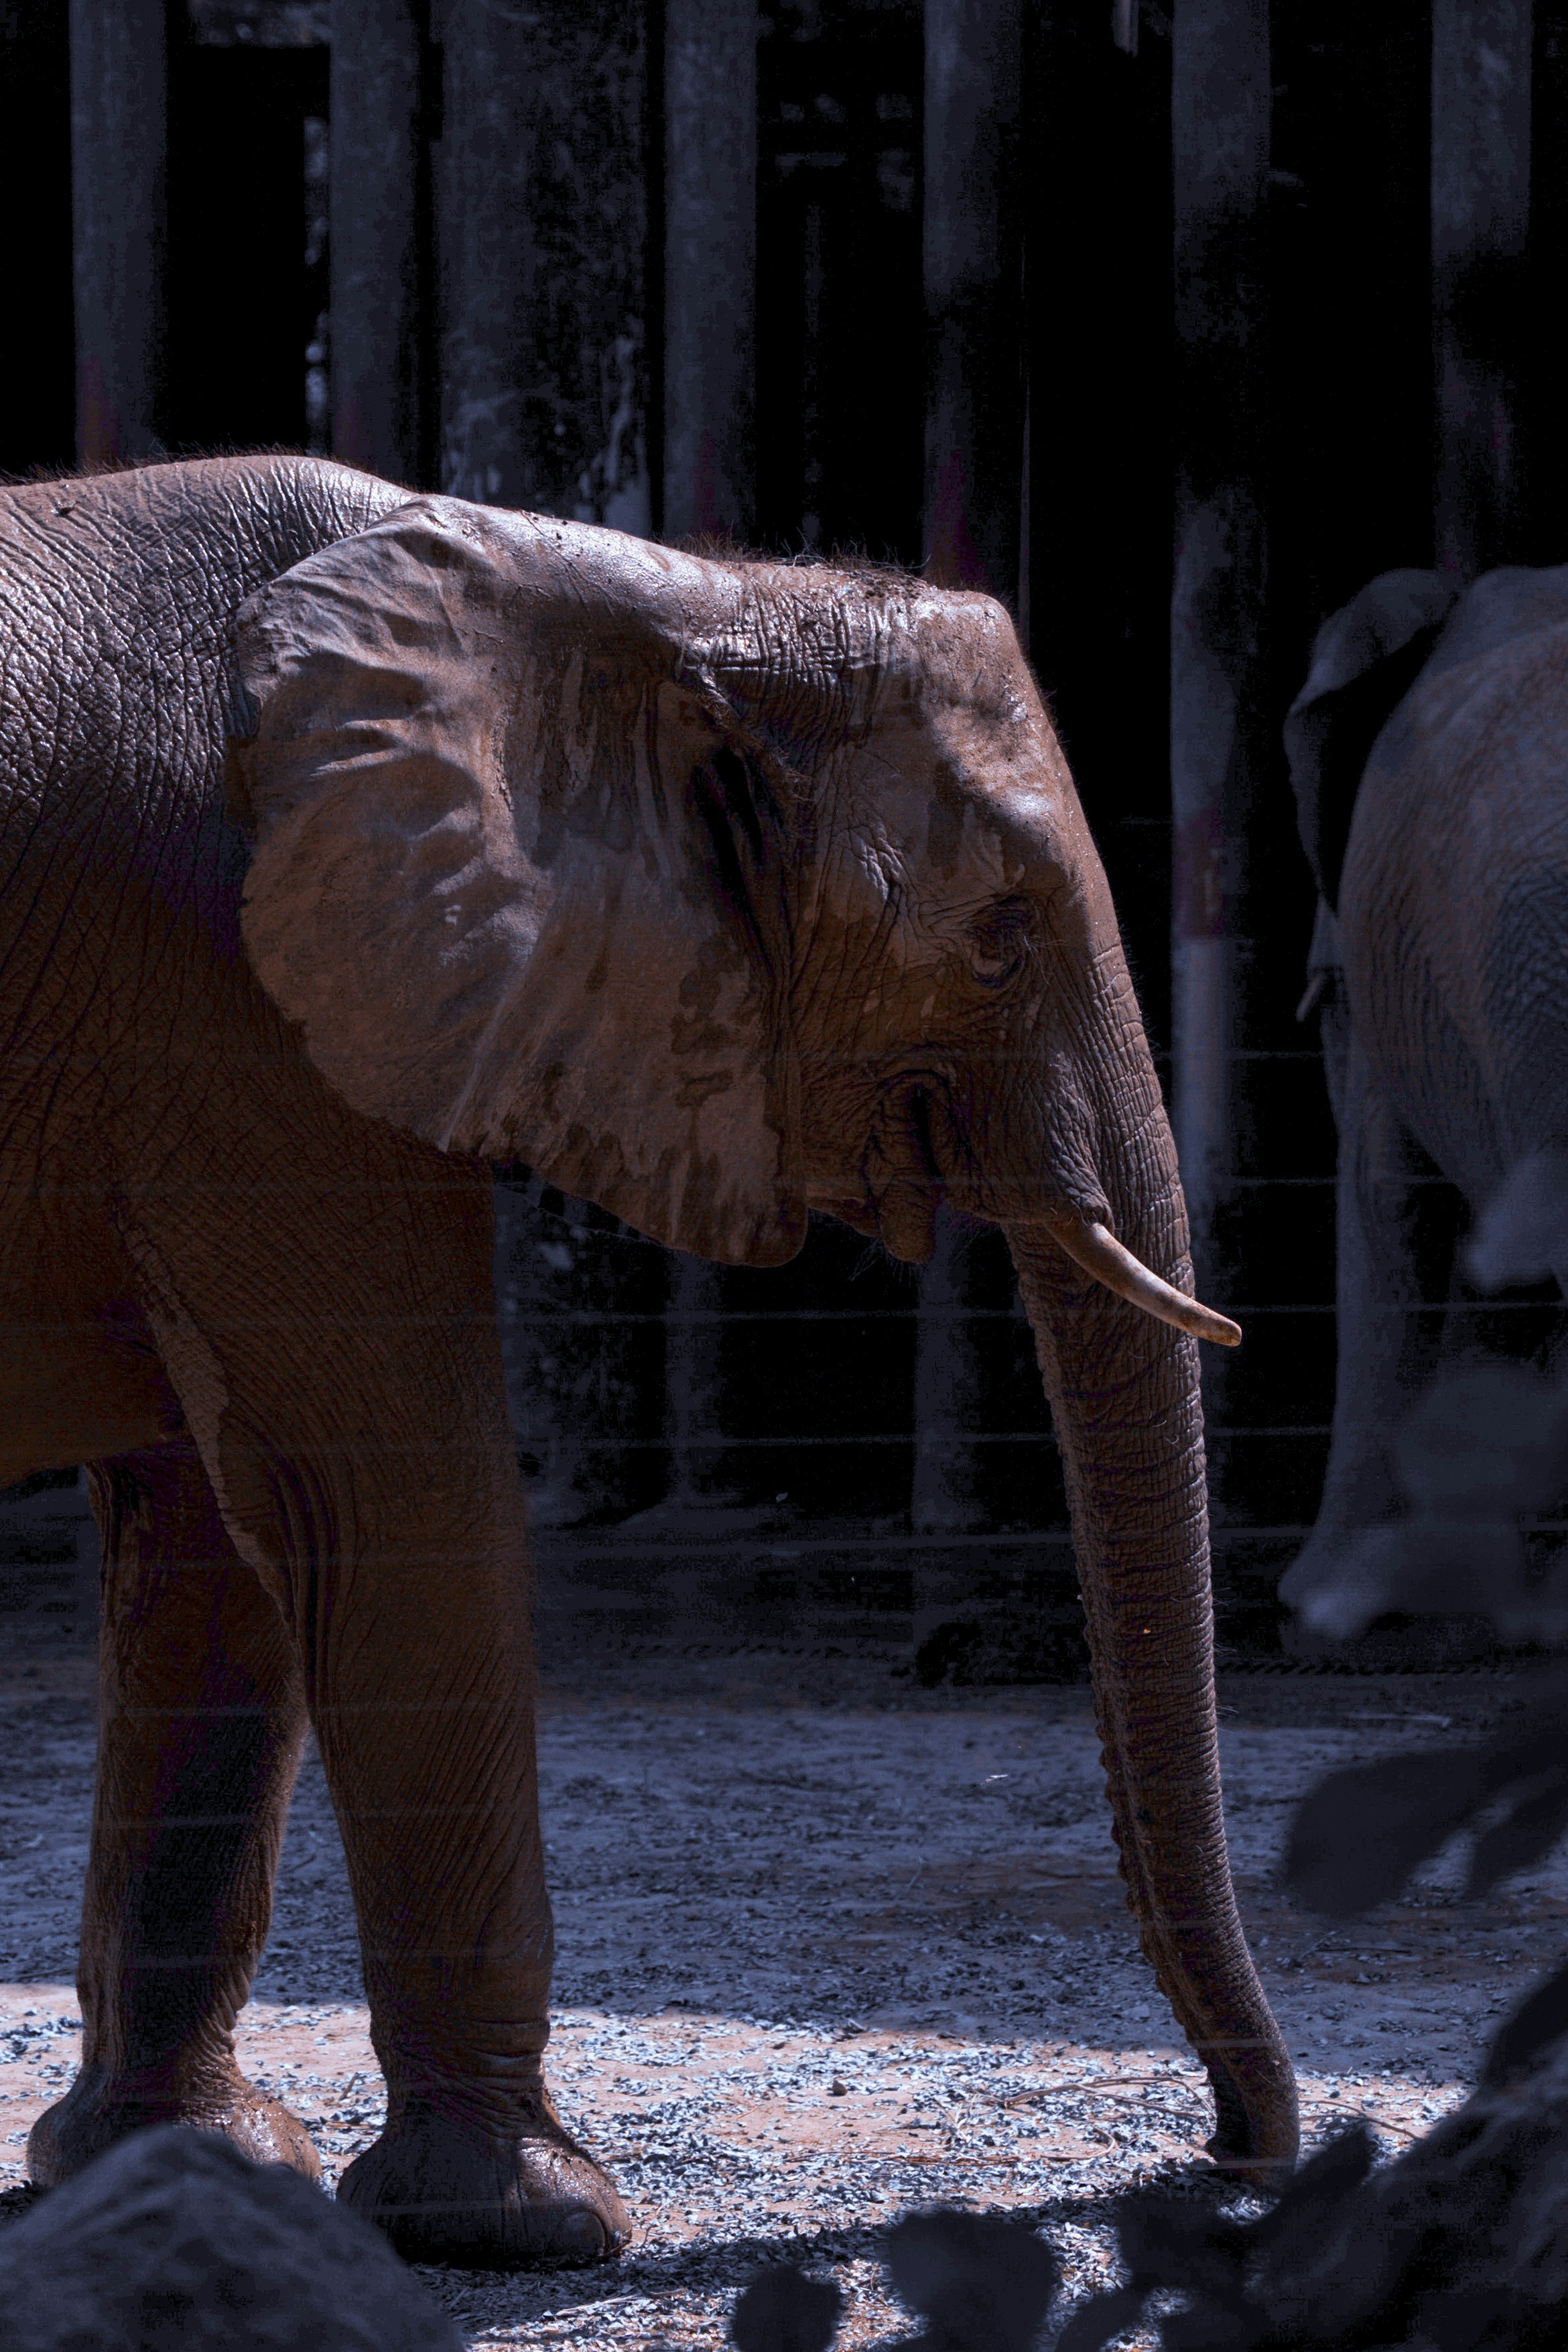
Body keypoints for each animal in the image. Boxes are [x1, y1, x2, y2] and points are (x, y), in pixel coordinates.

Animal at [0, 453, 1297, 2264]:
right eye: (998, 939)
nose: (1229, 2157)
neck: (660, 603)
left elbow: (213, 1537)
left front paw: (179, 2168)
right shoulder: (243, 999)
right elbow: (382, 1498)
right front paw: (529, 2226)